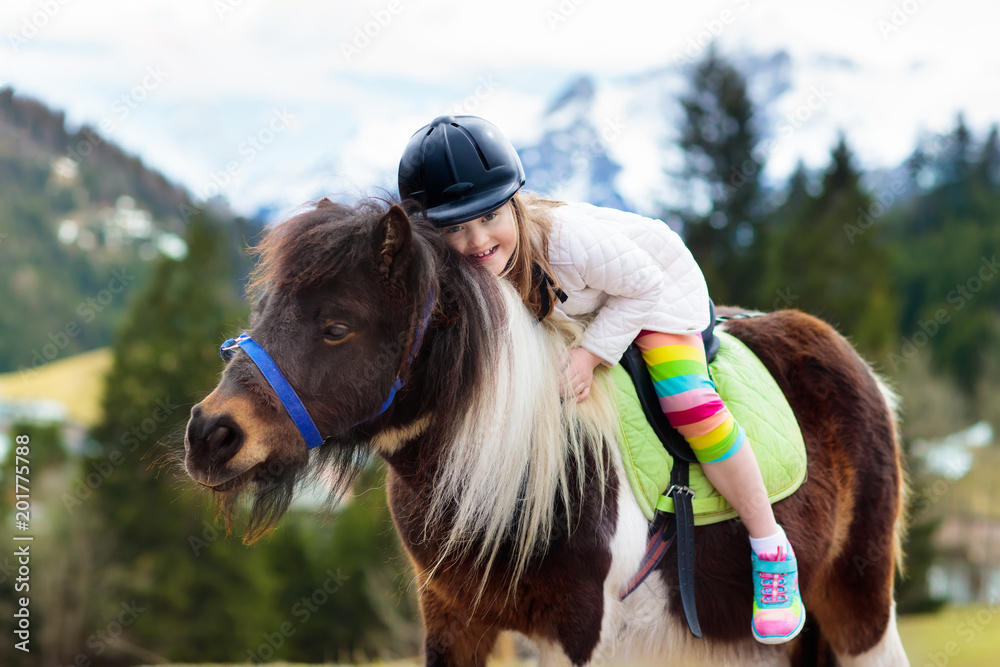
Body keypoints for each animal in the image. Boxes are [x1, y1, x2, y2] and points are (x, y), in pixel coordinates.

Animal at [182, 198, 910, 666]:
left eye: (336, 326)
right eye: (265, 308)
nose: (210, 435)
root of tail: (851, 361)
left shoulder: (579, 632)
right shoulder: (454, 622)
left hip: (858, 611)